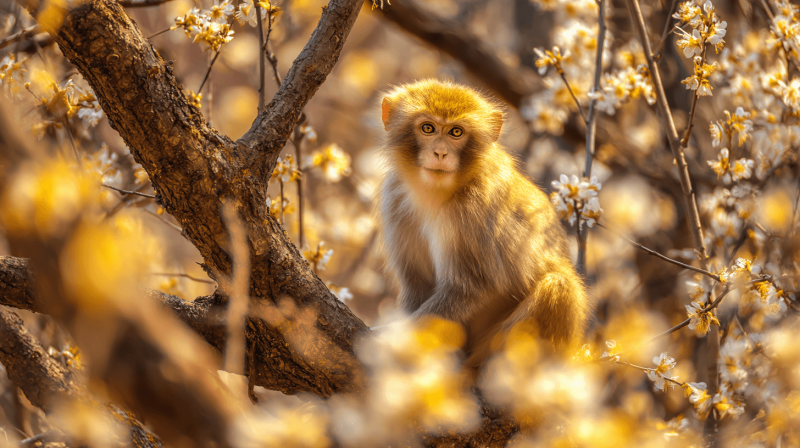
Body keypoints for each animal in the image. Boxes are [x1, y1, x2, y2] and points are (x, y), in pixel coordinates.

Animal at [377, 79, 589, 371]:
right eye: (428, 128)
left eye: (456, 132)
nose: (440, 152)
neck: (437, 193)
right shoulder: (395, 199)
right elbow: (416, 284)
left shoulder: (474, 209)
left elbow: (472, 287)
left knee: (560, 286)